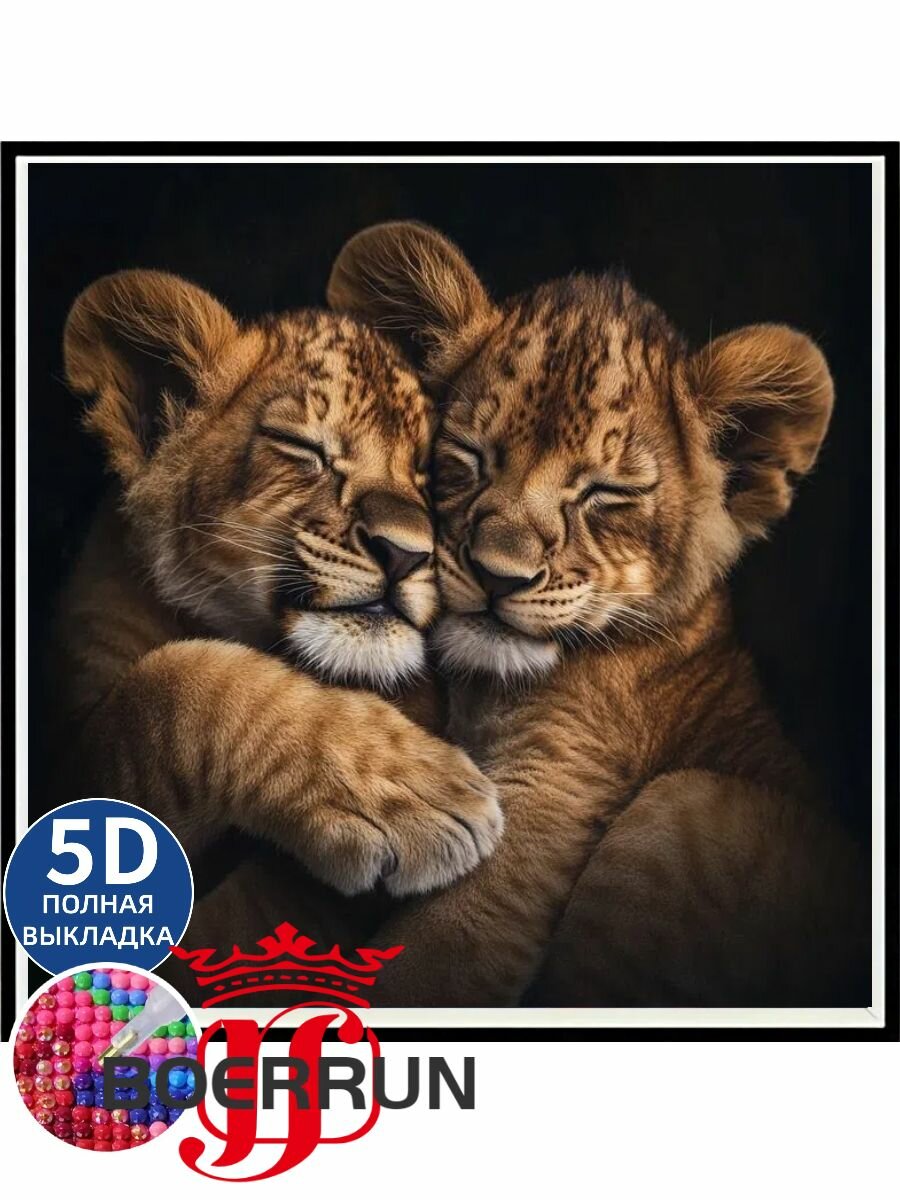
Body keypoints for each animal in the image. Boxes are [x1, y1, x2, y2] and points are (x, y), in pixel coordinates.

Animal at [327, 221, 869, 1006]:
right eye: (468, 456)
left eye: (607, 494)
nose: (498, 574)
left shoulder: (560, 783)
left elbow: (432, 962)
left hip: (680, 802)